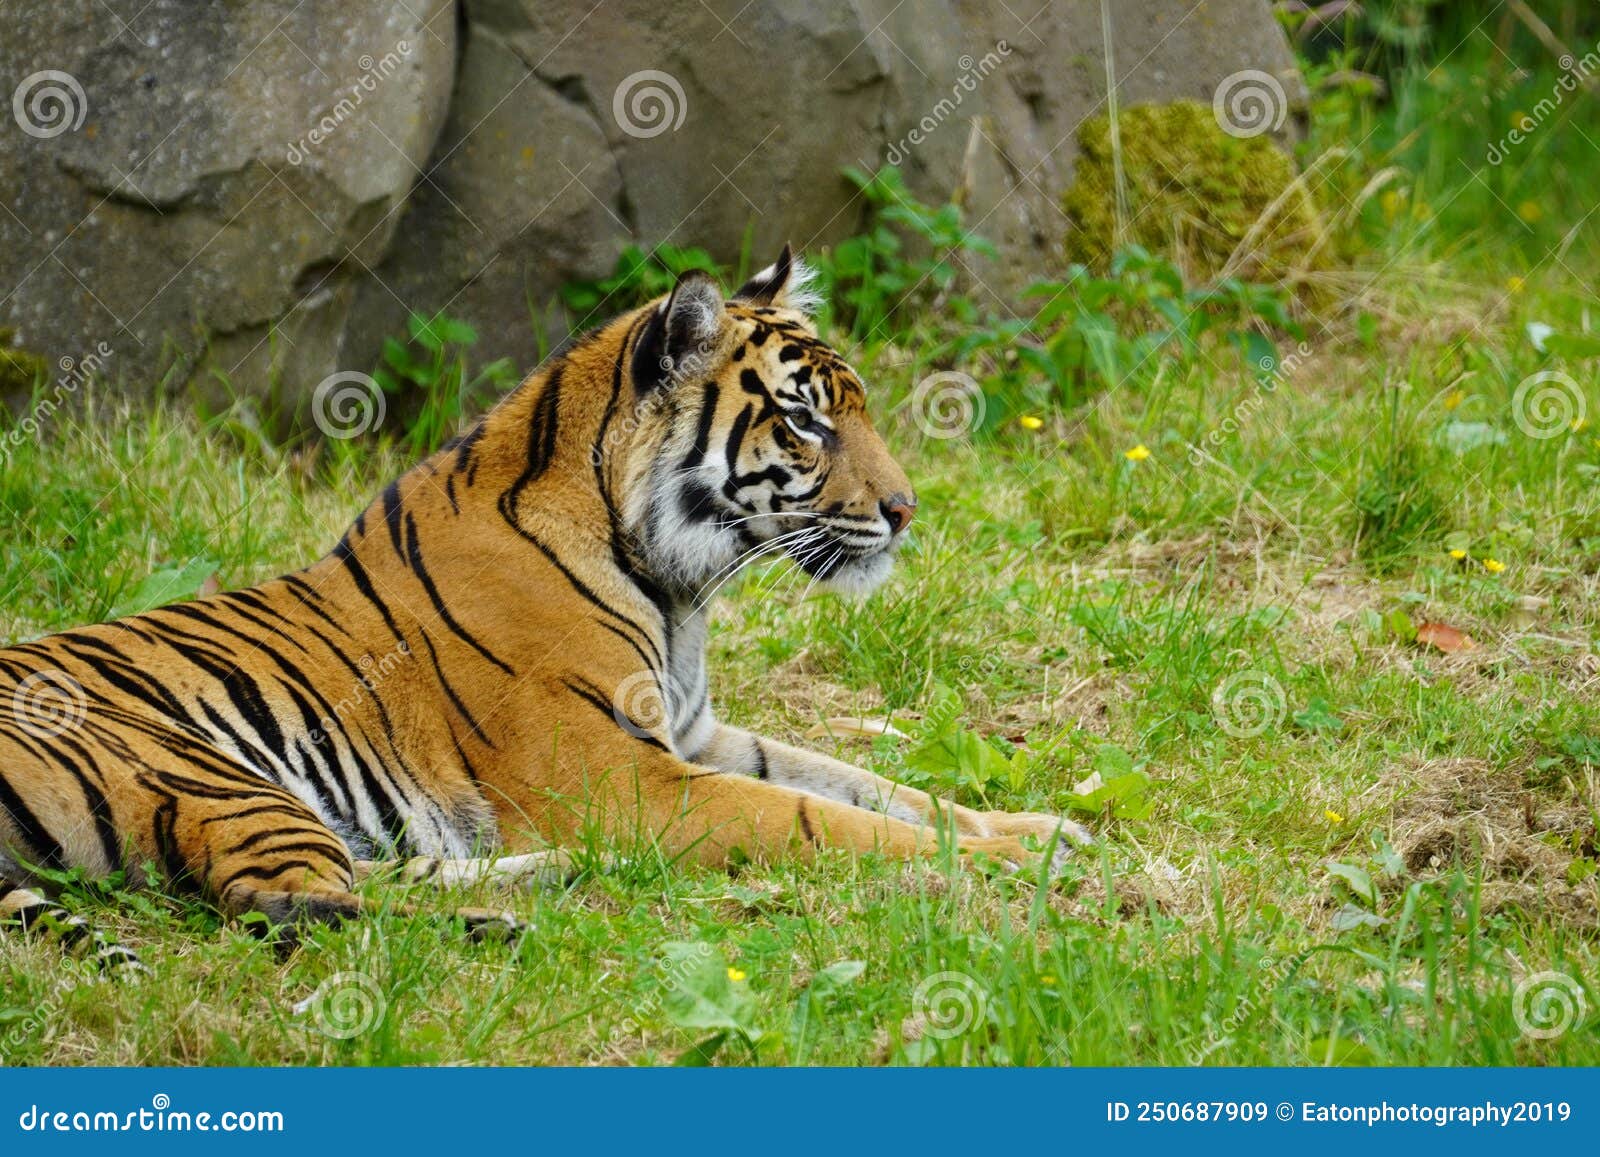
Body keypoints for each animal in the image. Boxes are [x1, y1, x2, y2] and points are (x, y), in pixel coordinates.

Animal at [0, 245, 1089, 971]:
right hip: (209, 769)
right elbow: (821, 817)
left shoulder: (694, 734)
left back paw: (546, 875)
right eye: (805, 420)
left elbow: (870, 783)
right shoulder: (623, 778)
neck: (675, 581)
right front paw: (1005, 866)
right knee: (289, 904)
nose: (906, 510)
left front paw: (1040, 829)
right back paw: (504, 921)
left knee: (354, 878)